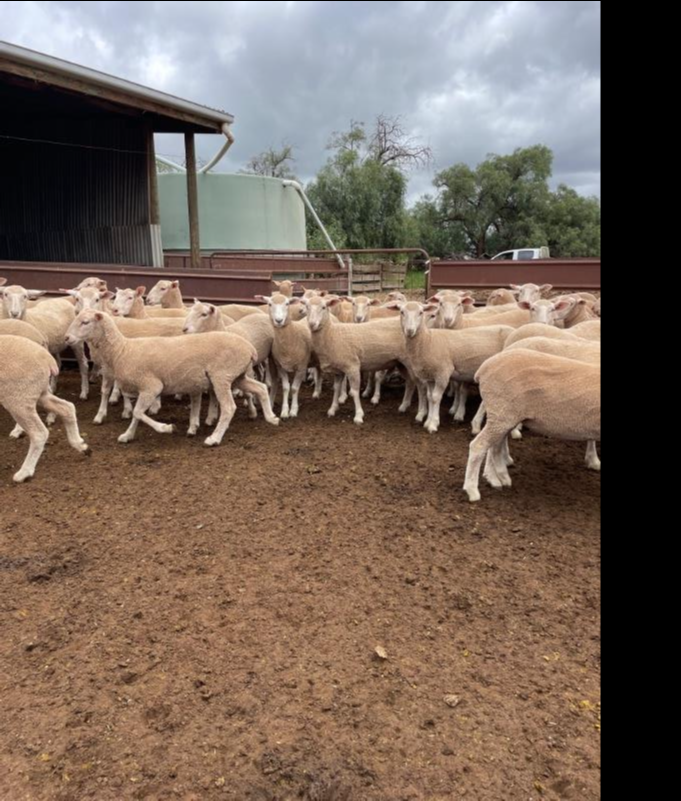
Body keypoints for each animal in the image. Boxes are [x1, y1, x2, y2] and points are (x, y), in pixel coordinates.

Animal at [0, 336, 90, 482]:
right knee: (67, 408)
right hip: (39, 392)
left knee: (39, 433)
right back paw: (81, 445)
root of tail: (48, 360)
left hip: (19, 398)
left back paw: (24, 472)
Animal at [66, 311, 278, 445]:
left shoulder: (151, 386)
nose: (67, 338)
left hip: (222, 376)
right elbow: (136, 414)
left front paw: (166, 428)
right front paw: (127, 435)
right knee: (260, 388)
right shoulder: (144, 390)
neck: (122, 350)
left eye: (85, 322)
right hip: (237, 376)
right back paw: (271, 417)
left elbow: (138, 412)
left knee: (228, 407)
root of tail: (249, 348)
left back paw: (214, 438)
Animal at [463, 350, 600, 502]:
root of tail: (483, 369)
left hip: (504, 415)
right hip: (502, 412)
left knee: (495, 447)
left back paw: (500, 479)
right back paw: (473, 490)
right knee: (479, 445)